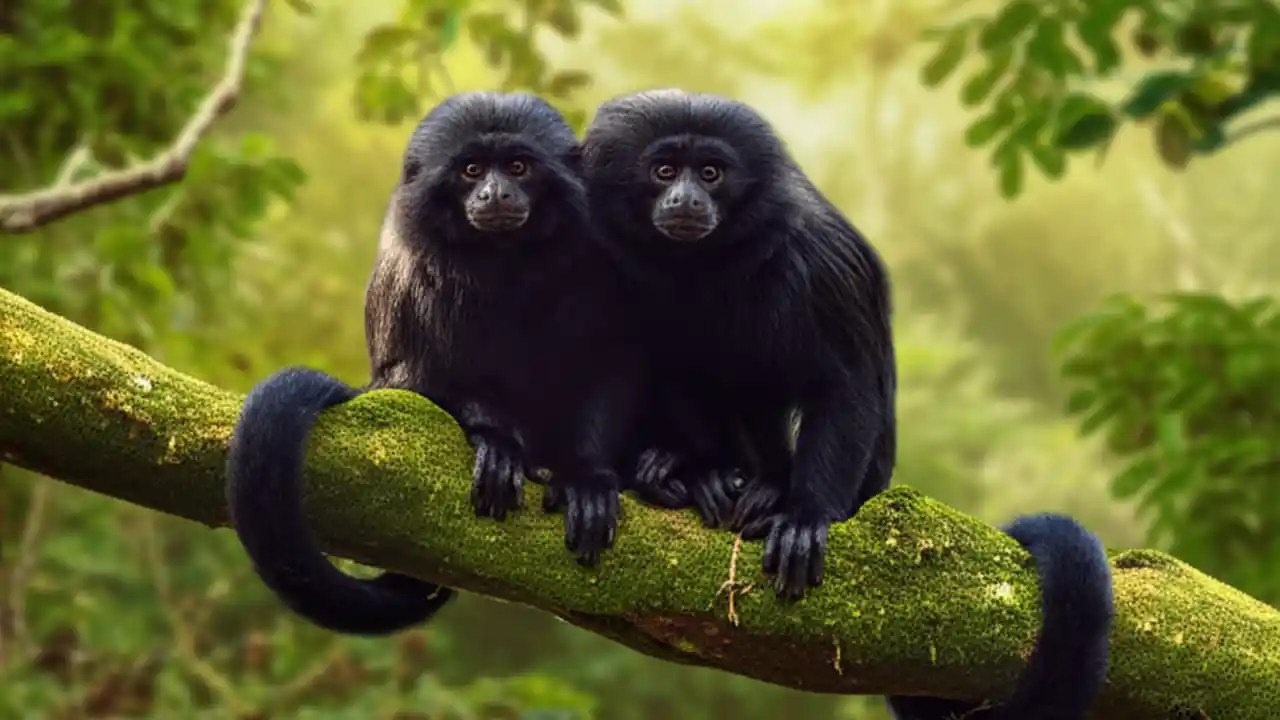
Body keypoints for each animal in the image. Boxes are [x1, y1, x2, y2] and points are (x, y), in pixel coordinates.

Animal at [226, 91, 641, 636]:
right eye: (471, 170)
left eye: (517, 167)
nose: (495, 193)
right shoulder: (418, 272)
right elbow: (421, 380)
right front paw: (497, 440)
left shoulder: (599, 257)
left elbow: (611, 366)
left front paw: (586, 477)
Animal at [580, 88, 895, 601]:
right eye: (665, 171)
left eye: (711, 173)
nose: (686, 199)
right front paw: (707, 472)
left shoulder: (821, 261)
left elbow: (846, 386)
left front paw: (806, 514)